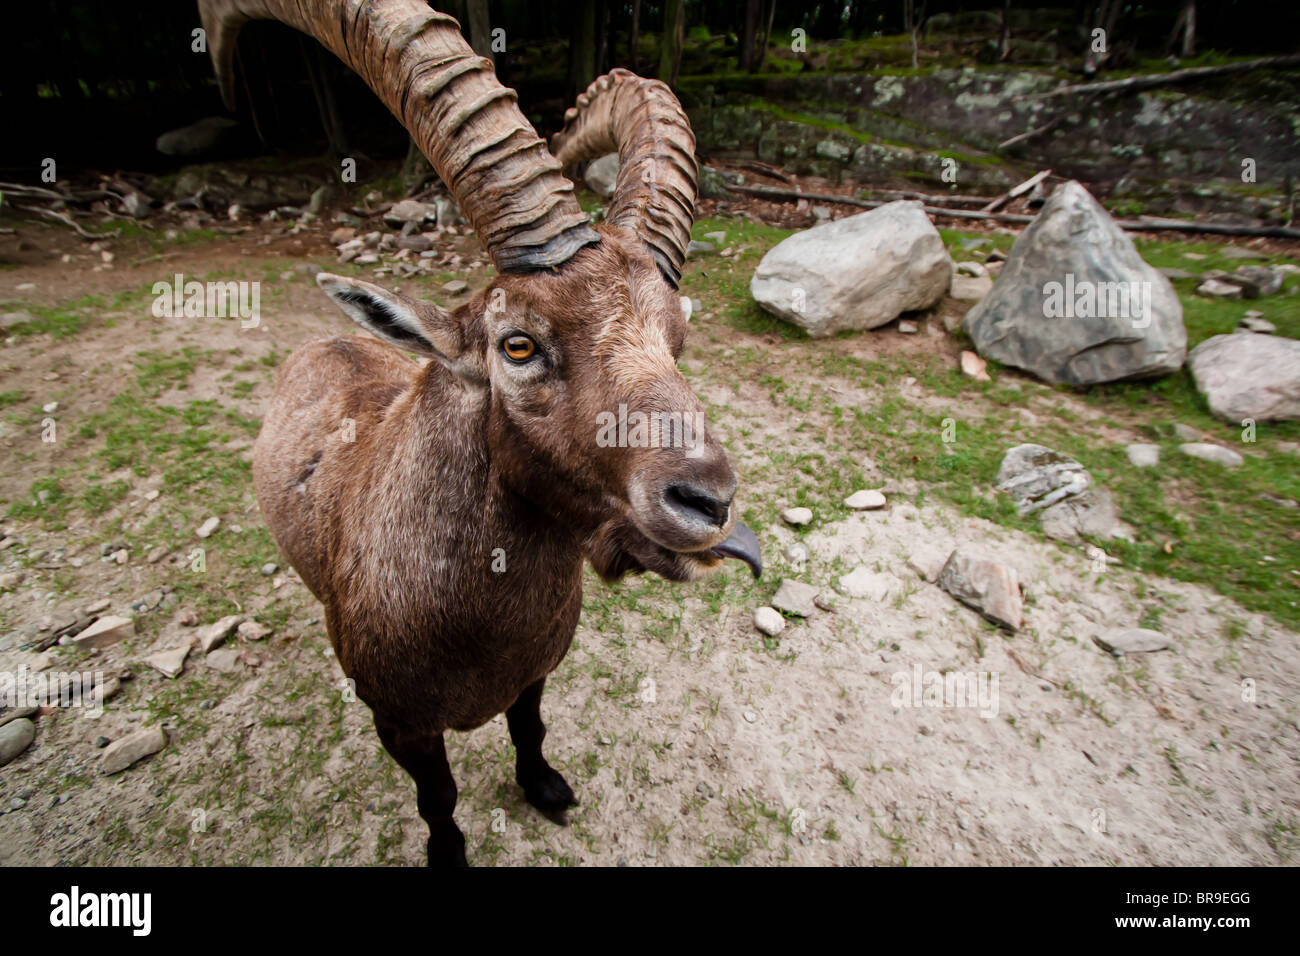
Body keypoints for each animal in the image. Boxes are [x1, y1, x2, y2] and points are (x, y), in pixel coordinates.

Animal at [199, 0, 762, 865]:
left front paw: (546, 788)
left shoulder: (535, 672)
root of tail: (330, 341)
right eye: (518, 344)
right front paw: (449, 851)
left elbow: (529, 729)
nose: (709, 502)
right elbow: (439, 796)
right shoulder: (402, 725)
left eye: (679, 339)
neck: (474, 633)